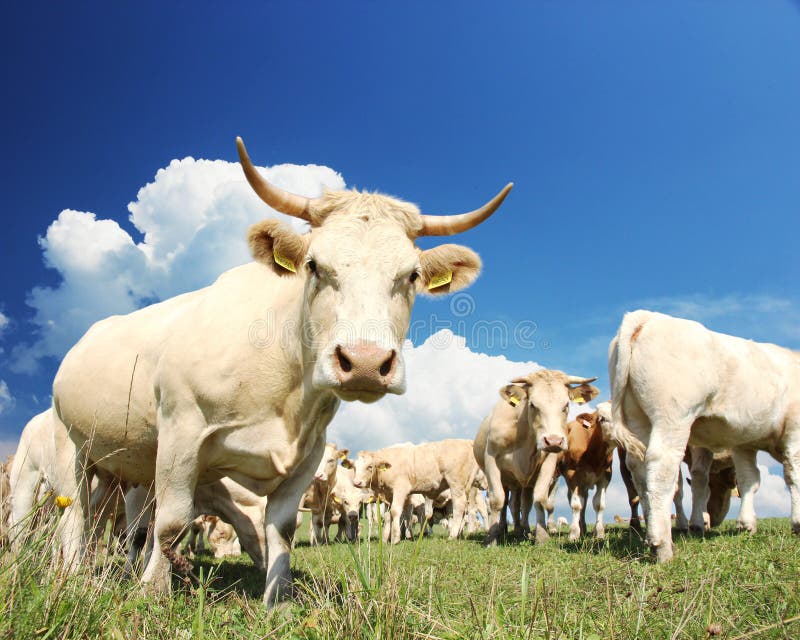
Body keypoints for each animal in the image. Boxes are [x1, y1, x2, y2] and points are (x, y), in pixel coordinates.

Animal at [348, 439, 479, 543]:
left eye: (370, 466)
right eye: (354, 467)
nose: (356, 483)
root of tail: (466, 441)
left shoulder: (401, 489)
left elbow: (395, 511)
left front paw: (395, 539)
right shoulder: (389, 495)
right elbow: (387, 516)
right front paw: (385, 539)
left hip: (456, 484)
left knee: (459, 506)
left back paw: (452, 535)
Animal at [473, 370, 599, 544]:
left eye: (566, 405)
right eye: (532, 404)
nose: (554, 440)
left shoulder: (548, 463)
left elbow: (539, 499)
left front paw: (542, 536)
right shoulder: (491, 459)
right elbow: (497, 499)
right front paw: (491, 538)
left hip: (523, 482)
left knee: (520, 504)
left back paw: (522, 531)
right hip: (506, 478)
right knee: (506, 503)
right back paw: (503, 529)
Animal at [609, 309, 800, 563]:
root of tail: (647, 317)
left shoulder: (743, 443)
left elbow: (749, 480)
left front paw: (747, 524)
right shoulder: (795, 430)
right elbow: (793, 476)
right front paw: (797, 523)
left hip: (637, 420)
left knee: (640, 471)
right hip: (673, 417)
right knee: (662, 468)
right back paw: (661, 544)